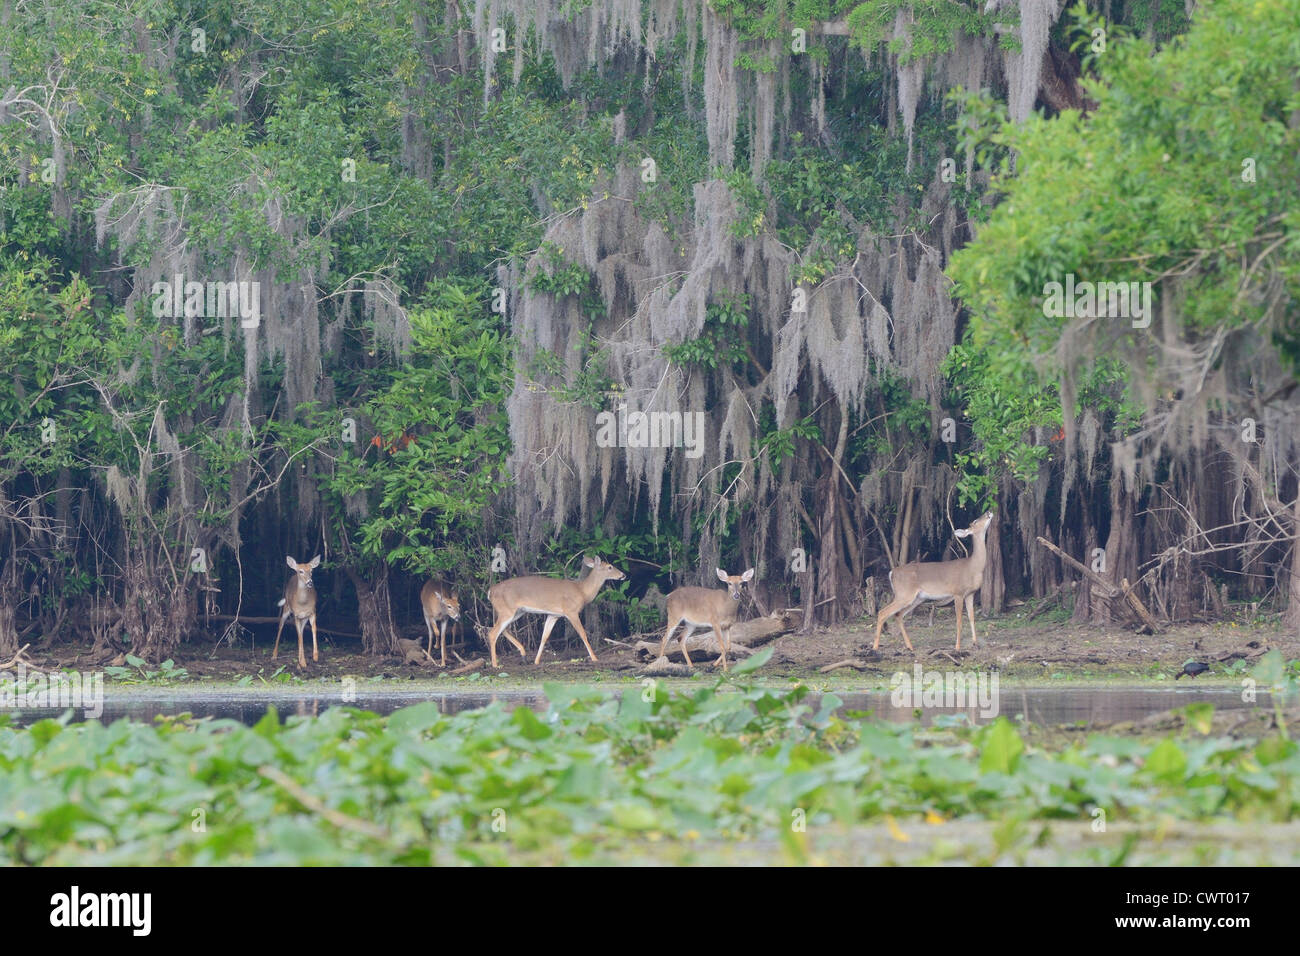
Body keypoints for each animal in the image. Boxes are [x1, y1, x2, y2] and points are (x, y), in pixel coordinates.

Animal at [483, 555, 626, 668]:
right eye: (610, 567)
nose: (623, 575)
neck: (582, 592)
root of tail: (490, 591)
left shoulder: (553, 615)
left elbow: (544, 636)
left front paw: (536, 661)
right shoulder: (571, 611)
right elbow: (583, 633)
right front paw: (595, 658)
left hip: (517, 611)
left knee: (502, 629)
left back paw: (523, 653)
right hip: (507, 610)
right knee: (492, 632)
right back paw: (495, 664)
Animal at [874, 512, 994, 653]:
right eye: (975, 521)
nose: (988, 512)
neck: (973, 567)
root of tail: (892, 572)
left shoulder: (970, 593)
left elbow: (971, 618)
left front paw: (975, 643)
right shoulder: (957, 593)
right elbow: (959, 621)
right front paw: (957, 647)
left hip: (917, 598)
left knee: (898, 615)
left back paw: (910, 646)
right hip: (904, 594)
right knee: (883, 612)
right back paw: (875, 647)